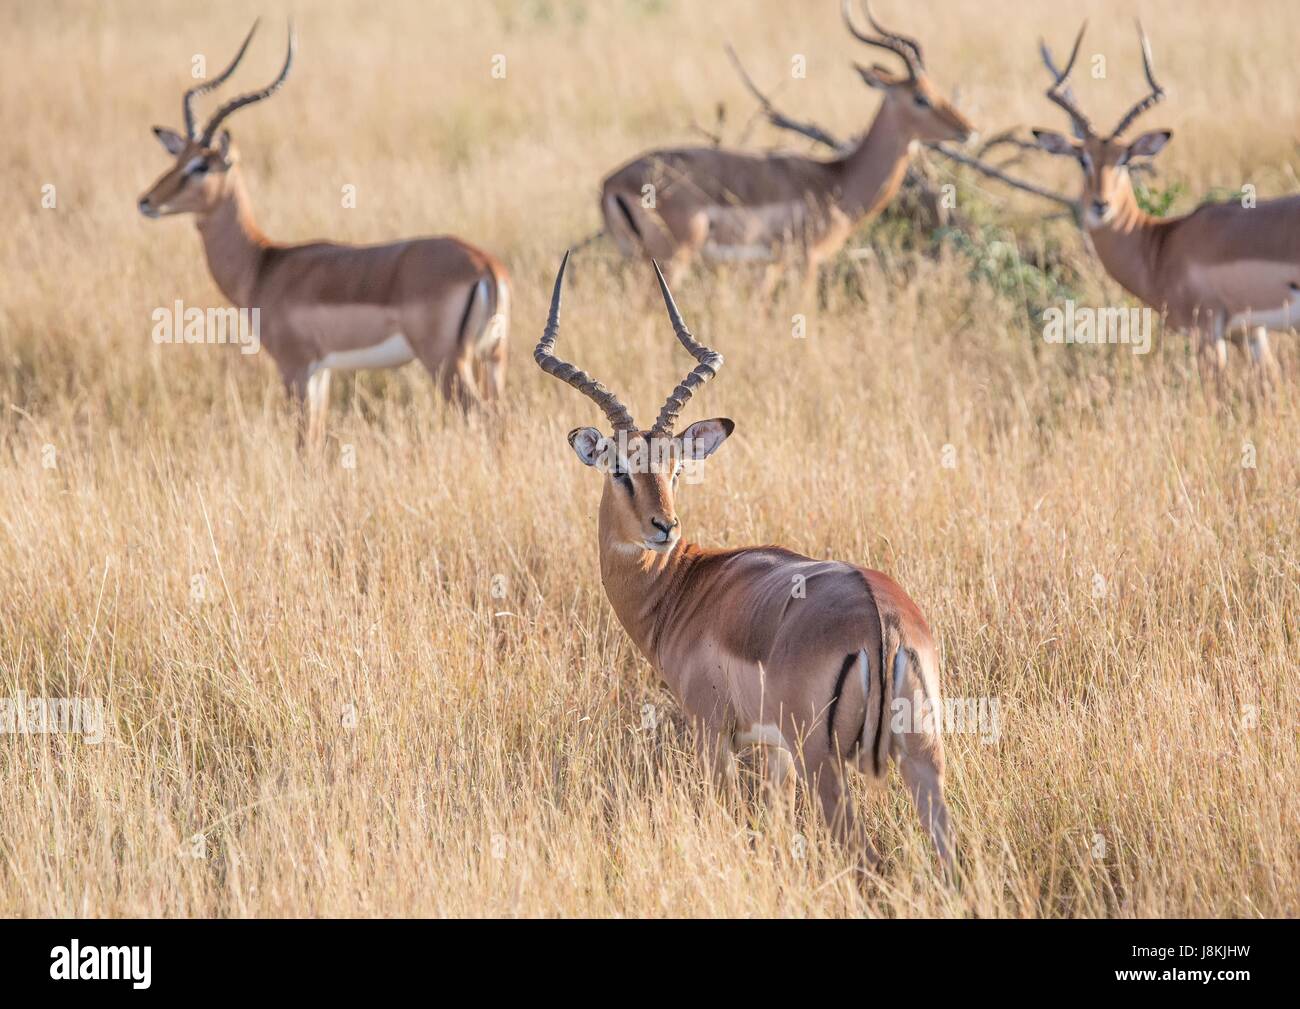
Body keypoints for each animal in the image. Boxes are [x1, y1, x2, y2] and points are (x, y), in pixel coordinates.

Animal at [137, 22, 510, 445]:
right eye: (178, 158)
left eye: (200, 166)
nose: (147, 201)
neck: (263, 265)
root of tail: (485, 265)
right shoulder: (323, 371)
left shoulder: (296, 367)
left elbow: (304, 441)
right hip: (493, 359)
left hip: (446, 363)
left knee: (484, 416)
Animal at [535, 251, 953, 874]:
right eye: (621, 468)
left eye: (674, 466)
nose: (664, 527)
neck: (685, 586)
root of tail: (882, 622)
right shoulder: (771, 752)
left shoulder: (714, 734)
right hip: (922, 757)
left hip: (823, 761)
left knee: (863, 857)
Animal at [598, 0, 974, 291]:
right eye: (920, 97)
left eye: (935, 87)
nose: (967, 129)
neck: (839, 180)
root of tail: (611, 183)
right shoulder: (806, 260)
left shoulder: (769, 265)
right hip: (672, 260)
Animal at [1032, 23, 1300, 375]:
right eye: (1082, 159)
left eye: (1124, 159)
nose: (1101, 204)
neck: (1159, 245)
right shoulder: (1251, 333)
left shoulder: (1206, 332)